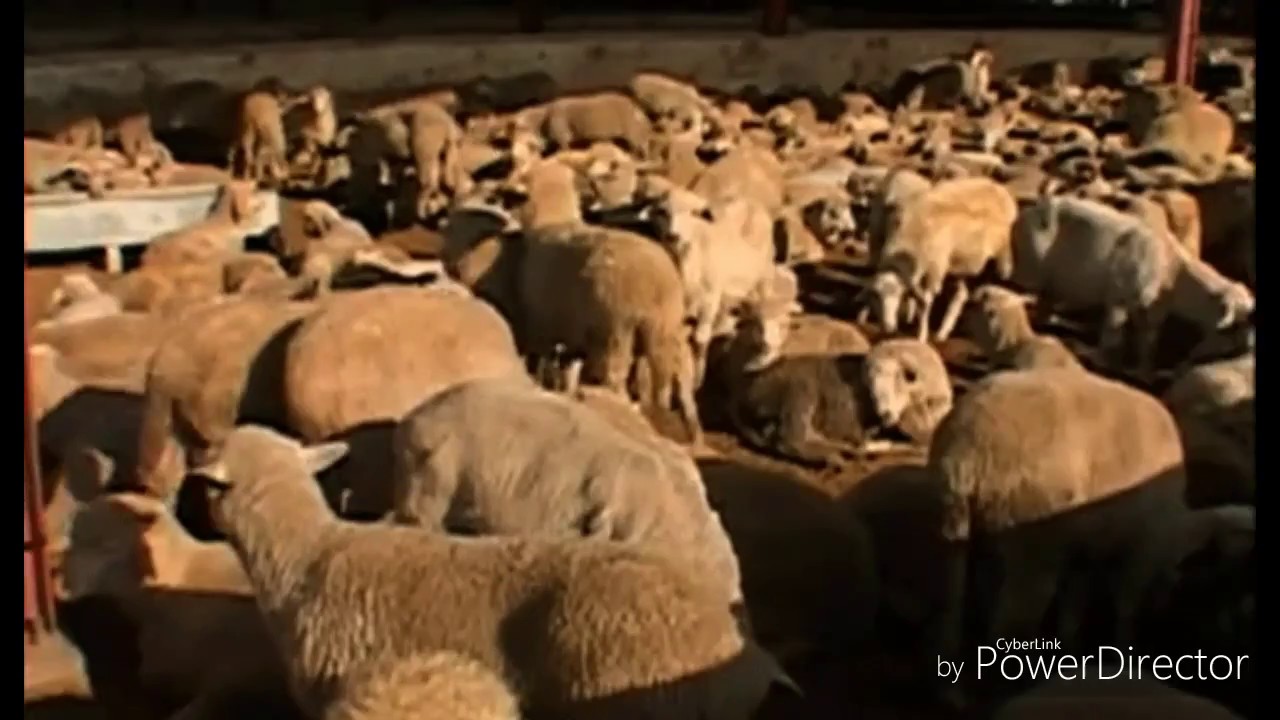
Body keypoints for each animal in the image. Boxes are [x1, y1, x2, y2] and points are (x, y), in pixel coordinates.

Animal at [863, 175, 1017, 342]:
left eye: (897, 295)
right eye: (876, 297)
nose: (888, 327)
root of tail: (997, 186)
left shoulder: (935, 269)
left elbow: (925, 302)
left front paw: (921, 336)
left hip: (1001, 256)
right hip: (960, 264)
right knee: (960, 295)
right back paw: (943, 332)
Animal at [927, 367, 1189, 704]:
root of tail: (967, 453)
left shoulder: (1084, 548)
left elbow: (1074, 603)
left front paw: (1071, 655)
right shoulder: (1143, 545)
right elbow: (1126, 604)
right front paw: (1126, 654)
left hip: (953, 518)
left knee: (951, 598)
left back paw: (949, 689)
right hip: (1034, 524)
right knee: (1011, 620)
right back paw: (1006, 690)